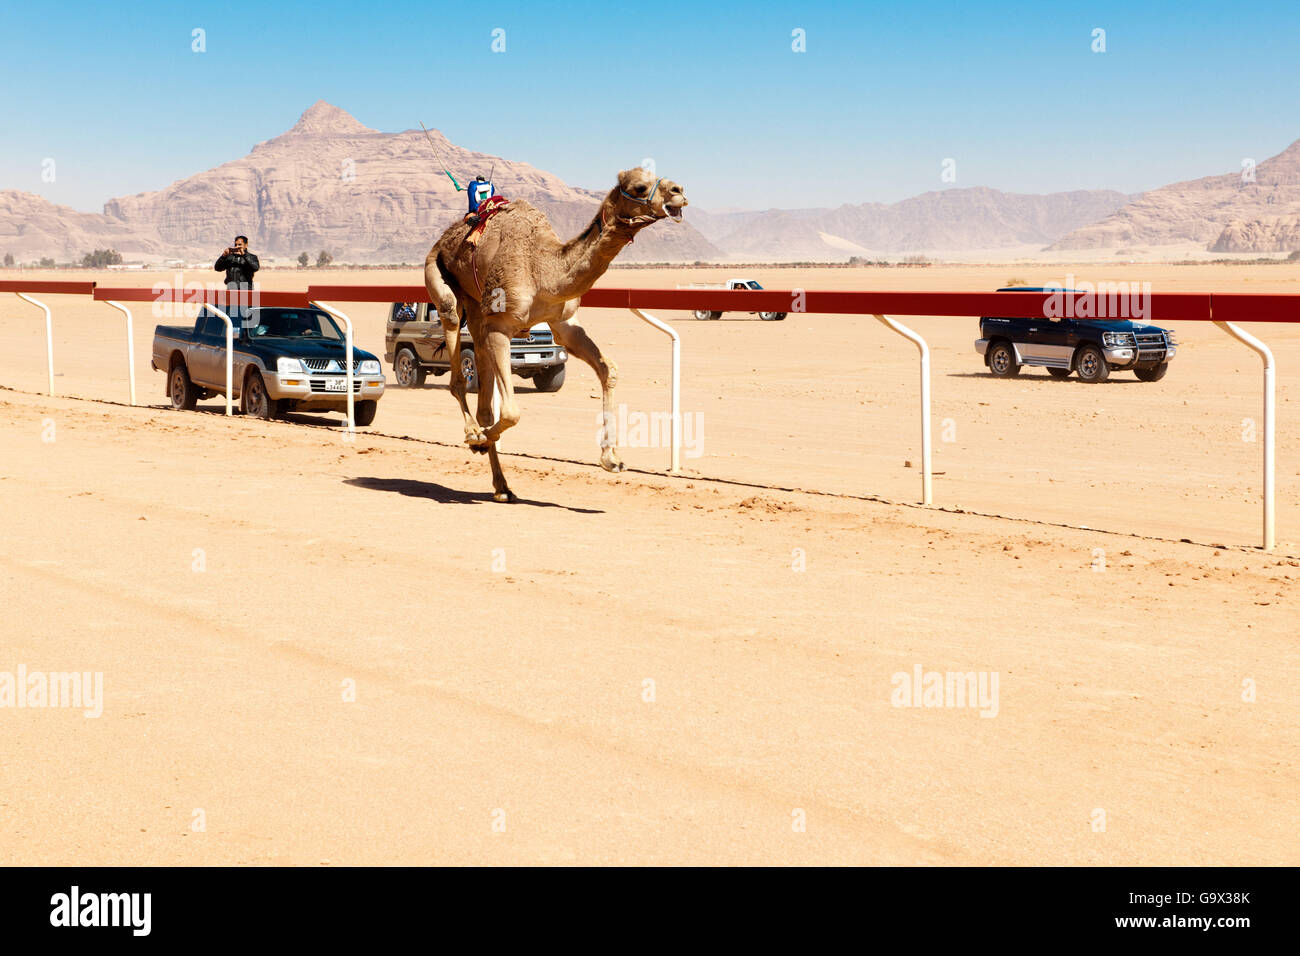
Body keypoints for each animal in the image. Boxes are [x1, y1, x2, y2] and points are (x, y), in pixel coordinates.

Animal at [423, 167, 688, 501]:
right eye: (640, 187)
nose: (679, 191)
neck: (545, 270)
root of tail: (444, 238)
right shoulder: (500, 328)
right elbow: (511, 412)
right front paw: (478, 440)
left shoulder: (564, 324)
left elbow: (608, 369)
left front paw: (612, 459)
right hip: (440, 279)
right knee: (455, 359)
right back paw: (474, 435)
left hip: (477, 309)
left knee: (483, 399)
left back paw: (501, 486)